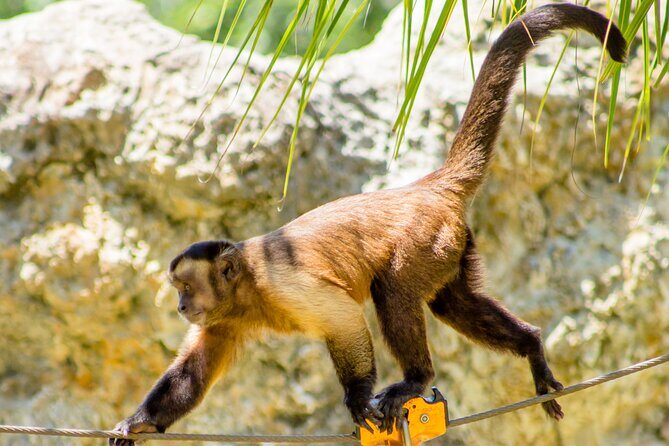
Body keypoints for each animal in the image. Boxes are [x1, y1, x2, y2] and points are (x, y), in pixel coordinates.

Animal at [109, 4, 626, 445]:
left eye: (186, 287)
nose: (180, 305)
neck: (248, 289)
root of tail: (424, 187)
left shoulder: (282, 283)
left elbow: (343, 319)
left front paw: (357, 398)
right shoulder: (222, 318)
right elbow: (191, 375)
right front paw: (139, 423)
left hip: (426, 237)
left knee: (393, 289)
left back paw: (417, 379)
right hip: (452, 246)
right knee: (453, 303)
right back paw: (531, 347)